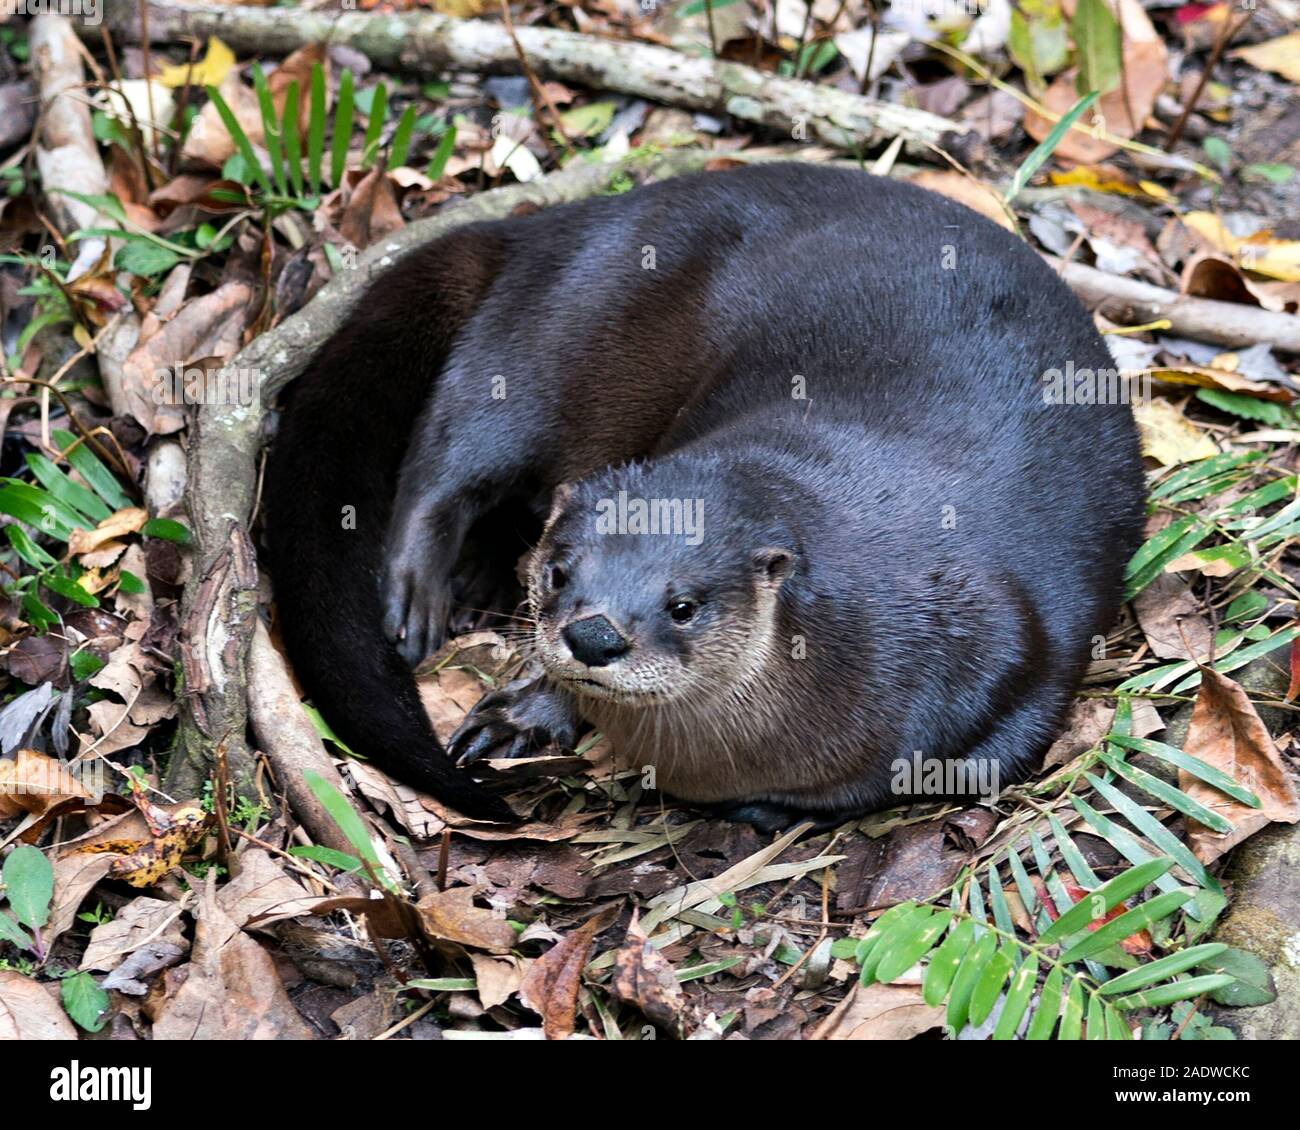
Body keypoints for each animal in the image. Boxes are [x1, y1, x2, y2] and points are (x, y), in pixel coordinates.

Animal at [263, 163, 1144, 826]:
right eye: (560, 573)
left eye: (683, 605)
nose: (593, 635)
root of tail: (557, 221)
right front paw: (524, 713)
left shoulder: (1020, 663)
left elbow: (947, 771)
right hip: (540, 340)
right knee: (446, 462)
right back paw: (414, 600)